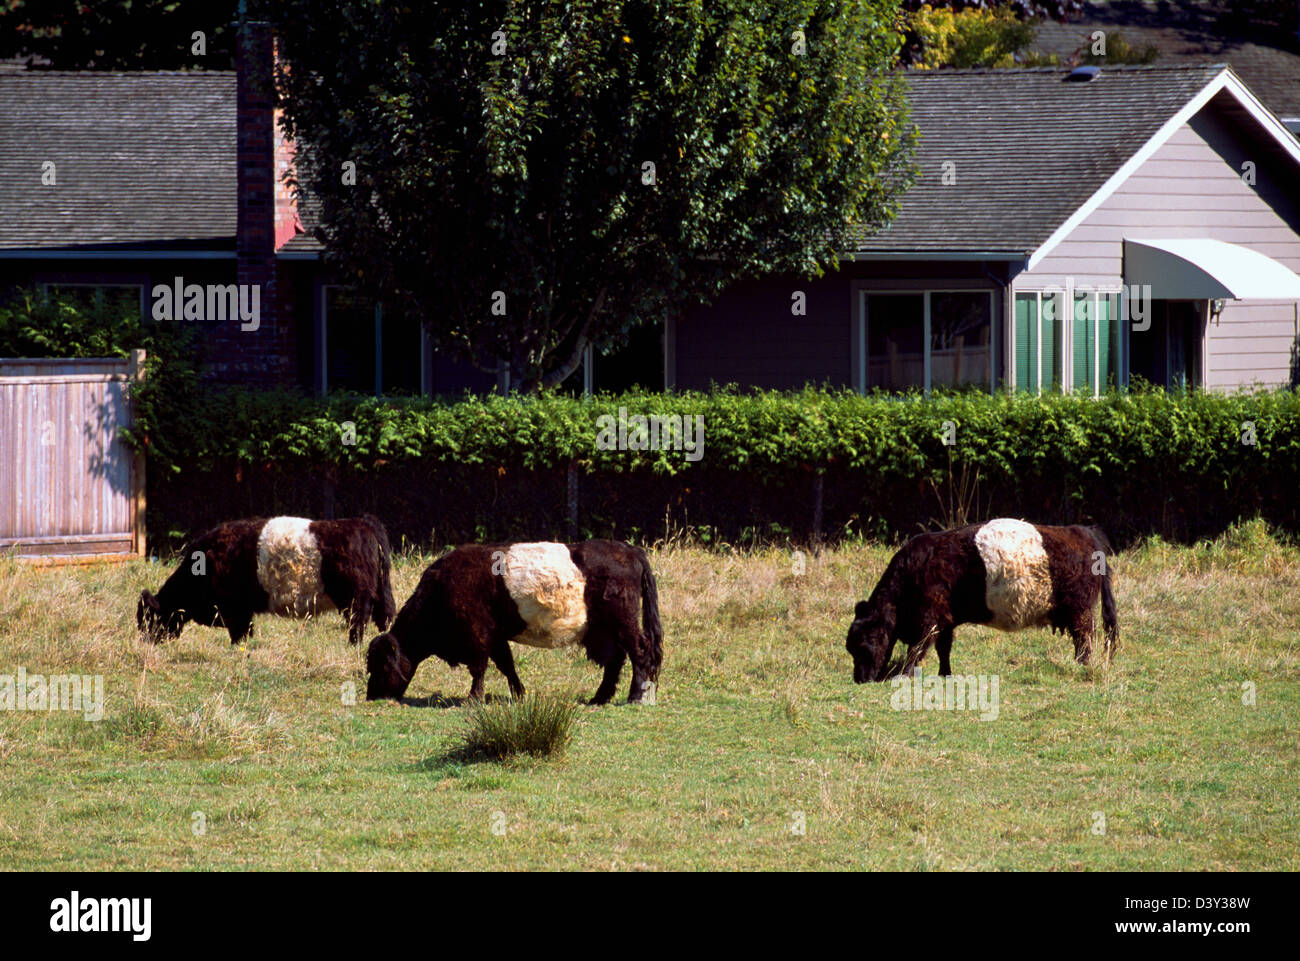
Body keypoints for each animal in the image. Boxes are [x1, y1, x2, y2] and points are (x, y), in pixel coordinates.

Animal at [137, 515, 395, 645]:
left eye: (149, 618)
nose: (146, 642)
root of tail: (363, 523)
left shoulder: (235, 609)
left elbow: (240, 632)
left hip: (354, 599)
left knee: (357, 623)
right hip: (379, 593)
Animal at [365, 540, 663, 705]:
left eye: (381, 665)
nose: (372, 695)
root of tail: (628, 549)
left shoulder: (477, 636)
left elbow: (479, 668)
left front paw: (473, 699)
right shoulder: (496, 636)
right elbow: (506, 664)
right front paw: (519, 694)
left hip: (622, 622)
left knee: (640, 651)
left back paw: (636, 696)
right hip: (606, 629)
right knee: (616, 660)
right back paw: (599, 698)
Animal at [845, 518, 1119, 682]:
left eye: (867, 640)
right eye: (850, 647)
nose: (861, 678)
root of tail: (1083, 531)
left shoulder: (928, 620)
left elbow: (917, 649)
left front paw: (904, 675)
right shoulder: (945, 621)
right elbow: (943, 649)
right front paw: (945, 674)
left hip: (1080, 610)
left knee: (1084, 639)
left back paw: (1080, 666)